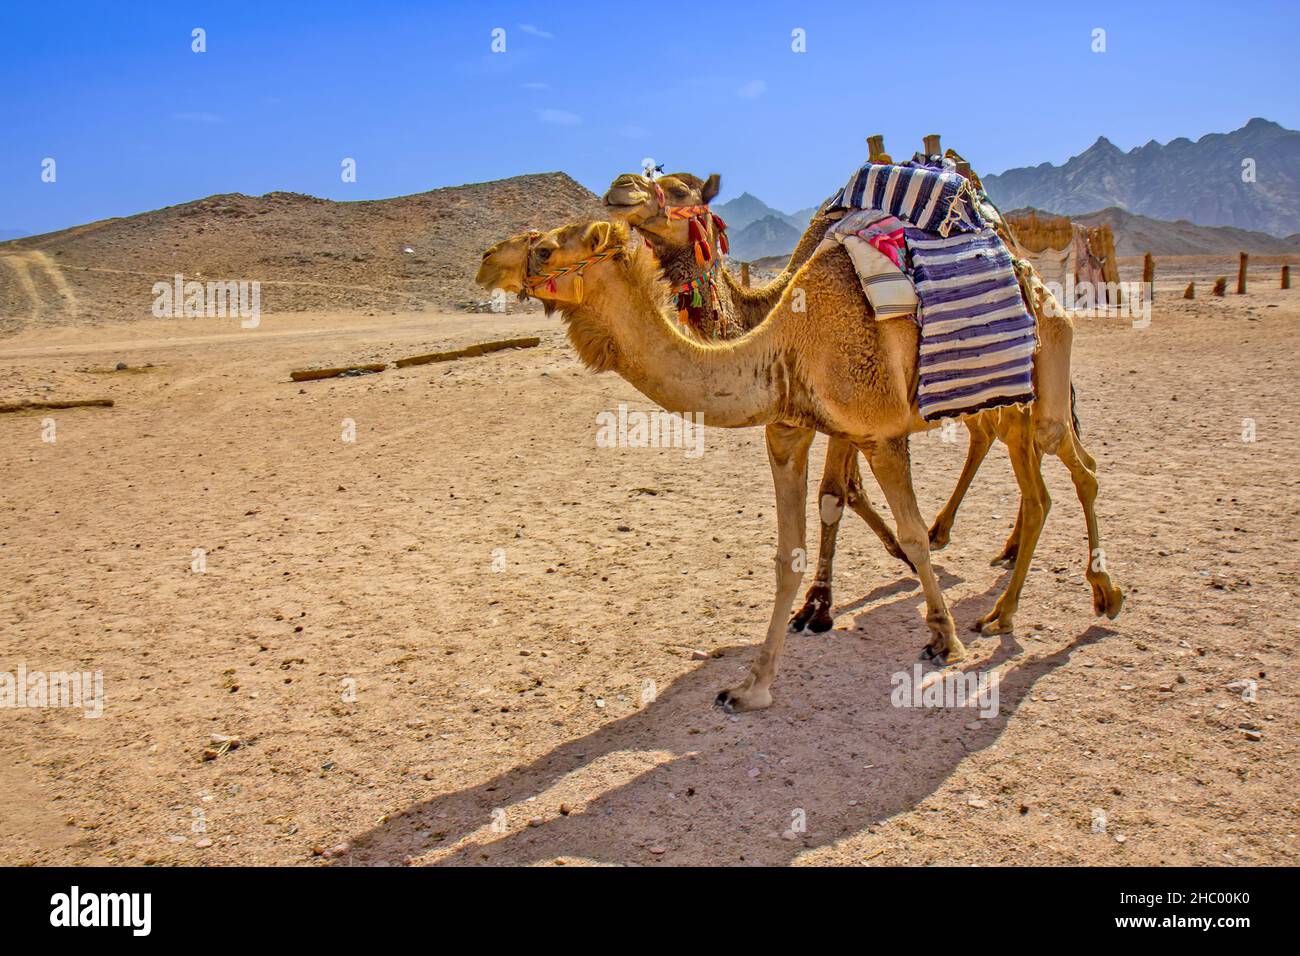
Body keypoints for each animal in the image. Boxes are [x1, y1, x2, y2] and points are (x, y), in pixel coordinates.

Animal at [599, 169, 1123, 635]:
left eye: (678, 189)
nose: (619, 188)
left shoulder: (851, 410)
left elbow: (835, 494)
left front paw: (820, 604)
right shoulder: (817, 416)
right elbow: (846, 492)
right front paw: (875, 566)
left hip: (1033, 378)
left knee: (1058, 457)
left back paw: (1074, 592)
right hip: (994, 392)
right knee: (1015, 448)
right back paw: (987, 548)